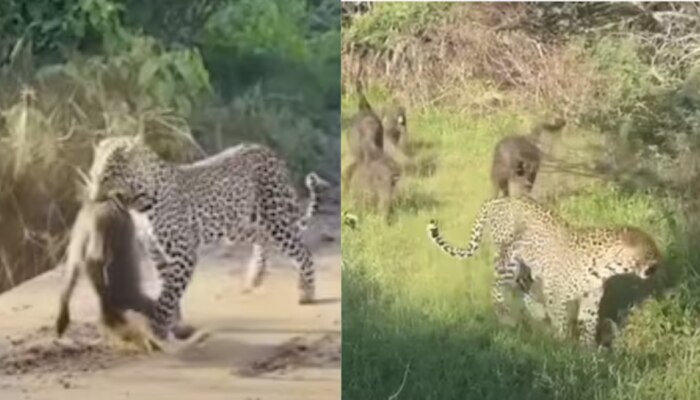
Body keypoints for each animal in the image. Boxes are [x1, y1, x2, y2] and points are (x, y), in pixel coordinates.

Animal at [87, 135, 326, 340]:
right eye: (93, 175)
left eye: (106, 176)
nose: (92, 197)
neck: (139, 202)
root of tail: (268, 151)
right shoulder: (158, 255)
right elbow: (169, 290)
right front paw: (175, 325)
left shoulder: (183, 254)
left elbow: (168, 295)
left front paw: (158, 330)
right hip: (241, 224)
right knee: (263, 239)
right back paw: (255, 276)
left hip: (276, 219)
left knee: (302, 250)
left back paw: (306, 292)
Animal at [426, 195, 661, 347]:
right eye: (650, 251)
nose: (659, 262)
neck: (604, 268)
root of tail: (496, 200)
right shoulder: (556, 295)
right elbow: (561, 322)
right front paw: (563, 346)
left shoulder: (591, 300)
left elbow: (588, 326)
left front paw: (588, 354)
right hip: (508, 260)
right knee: (498, 286)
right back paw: (507, 316)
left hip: (525, 267)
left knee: (523, 289)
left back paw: (536, 314)